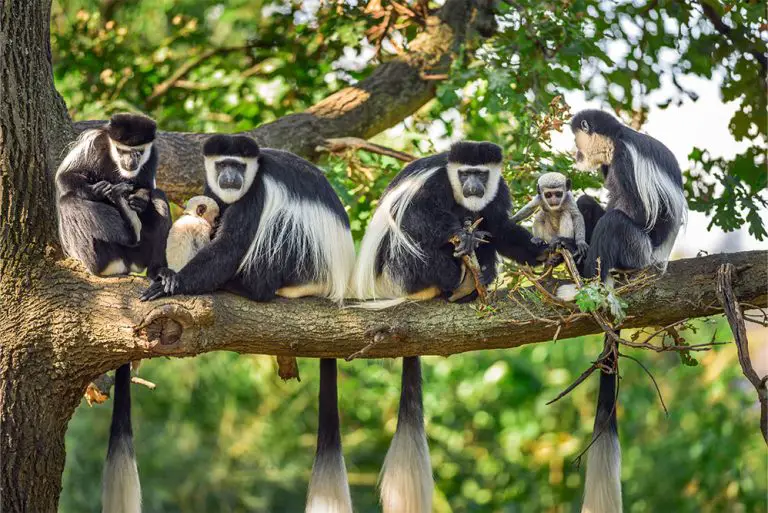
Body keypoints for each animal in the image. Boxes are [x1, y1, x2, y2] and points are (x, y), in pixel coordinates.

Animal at [56, 113, 171, 278]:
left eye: (139, 152)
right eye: (121, 150)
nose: (130, 162)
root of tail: (125, 264)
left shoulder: (152, 156)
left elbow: (147, 187)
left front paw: (140, 199)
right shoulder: (94, 144)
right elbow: (65, 176)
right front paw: (95, 191)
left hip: (140, 254)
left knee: (158, 195)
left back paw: (157, 271)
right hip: (104, 254)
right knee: (67, 202)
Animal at [140, 134, 356, 513]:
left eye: (238, 166)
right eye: (222, 164)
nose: (230, 177)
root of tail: (335, 282)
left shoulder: (256, 194)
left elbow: (230, 245)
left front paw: (172, 283)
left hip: (303, 261)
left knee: (280, 228)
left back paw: (245, 285)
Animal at [351, 141, 548, 513]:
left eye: (481, 174)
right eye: (465, 173)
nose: (472, 186)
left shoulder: (497, 192)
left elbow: (500, 227)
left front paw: (545, 252)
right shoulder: (433, 184)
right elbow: (417, 217)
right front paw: (459, 234)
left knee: (486, 236)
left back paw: (473, 282)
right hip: (402, 271)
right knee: (414, 237)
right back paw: (455, 275)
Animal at [560, 110, 686, 513]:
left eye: (577, 138)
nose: (575, 153)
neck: (617, 141)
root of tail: (657, 261)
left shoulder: (627, 163)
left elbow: (638, 212)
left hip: (637, 251)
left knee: (617, 223)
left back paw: (587, 281)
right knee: (589, 205)